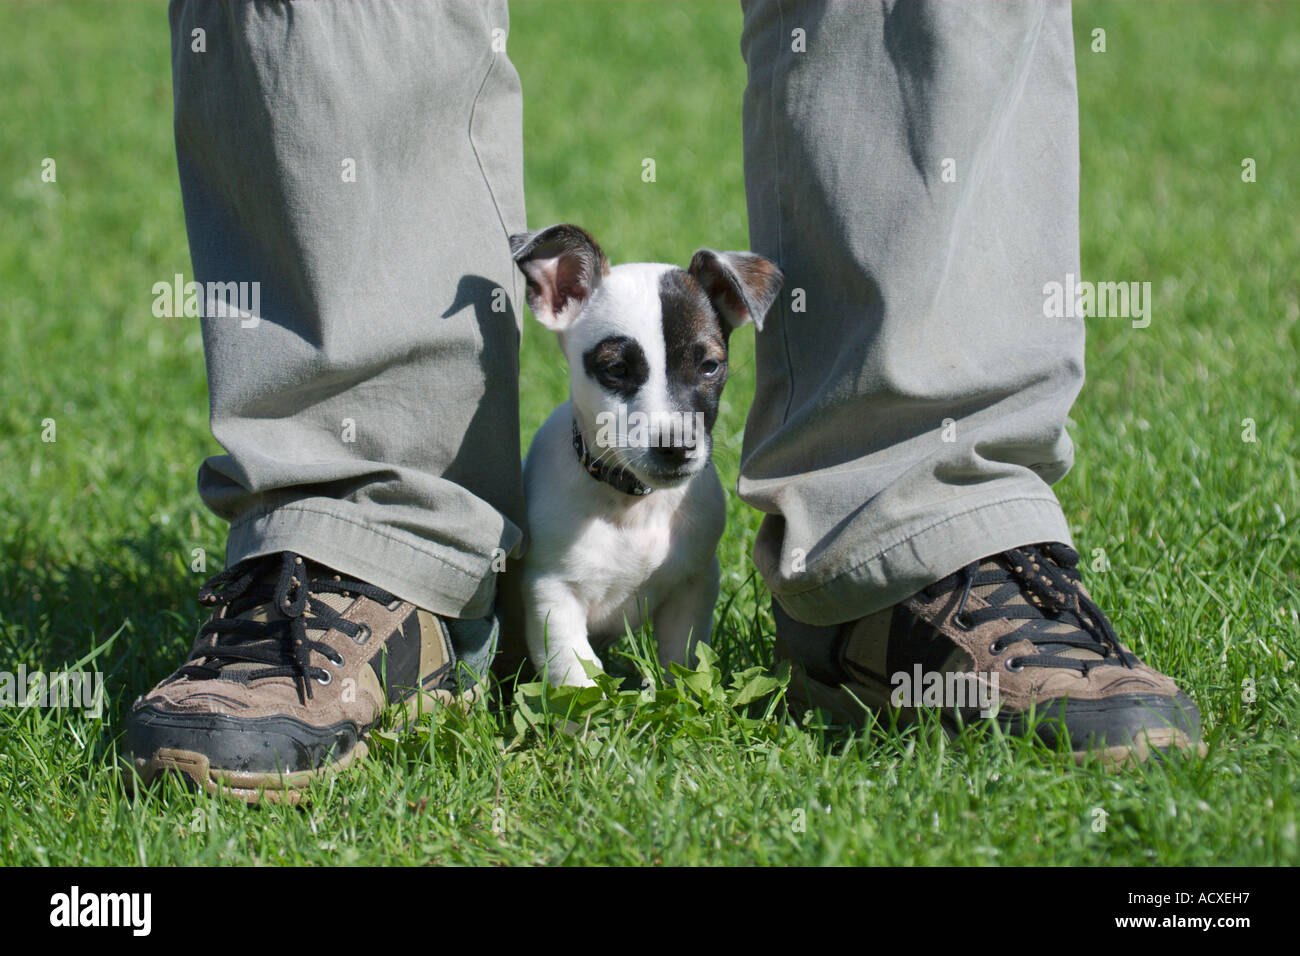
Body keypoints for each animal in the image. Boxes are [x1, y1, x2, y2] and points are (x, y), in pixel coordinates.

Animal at [496, 223, 780, 686]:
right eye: (616, 369)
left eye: (709, 366)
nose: (676, 445)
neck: (632, 505)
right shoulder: (552, 597)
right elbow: (577, 678)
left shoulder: (694, 587)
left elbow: (681, 660)